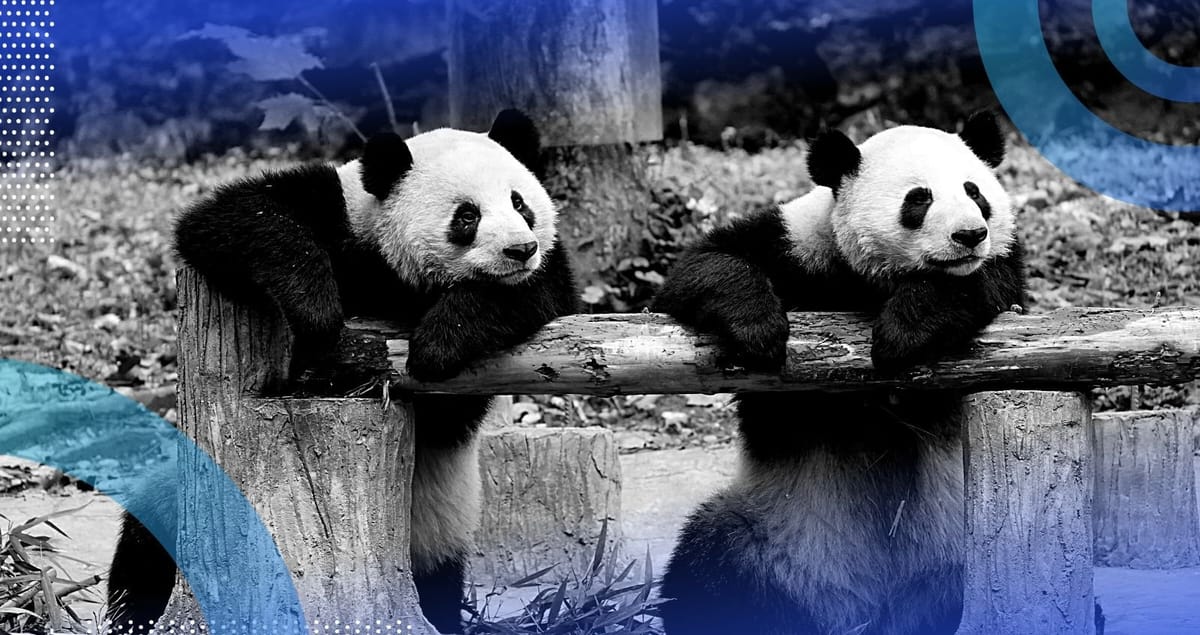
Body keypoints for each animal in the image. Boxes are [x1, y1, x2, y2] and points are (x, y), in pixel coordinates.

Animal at [105, 109, 578, 635]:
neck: (399, 277)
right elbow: (231, 217)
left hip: (439, 523)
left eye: (520, 203)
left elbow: (536, 296)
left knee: (437, 583)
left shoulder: (543, 276)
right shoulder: (341, 214)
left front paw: (439, 342)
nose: (520, 249)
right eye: (467, 216)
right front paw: (317, 311)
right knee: (146, 548)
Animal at [652, 113, 1026, 635]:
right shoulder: (798, 246)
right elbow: (698, 269)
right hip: (767, 532)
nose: (970, 235)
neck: (870, 282)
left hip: (957, 543)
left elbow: (977, 284)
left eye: (975, 192)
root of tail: (866, 614)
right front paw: (759, 329)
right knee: (707, 571)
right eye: (919, 199)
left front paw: (904, 332)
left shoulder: (1002, 265)